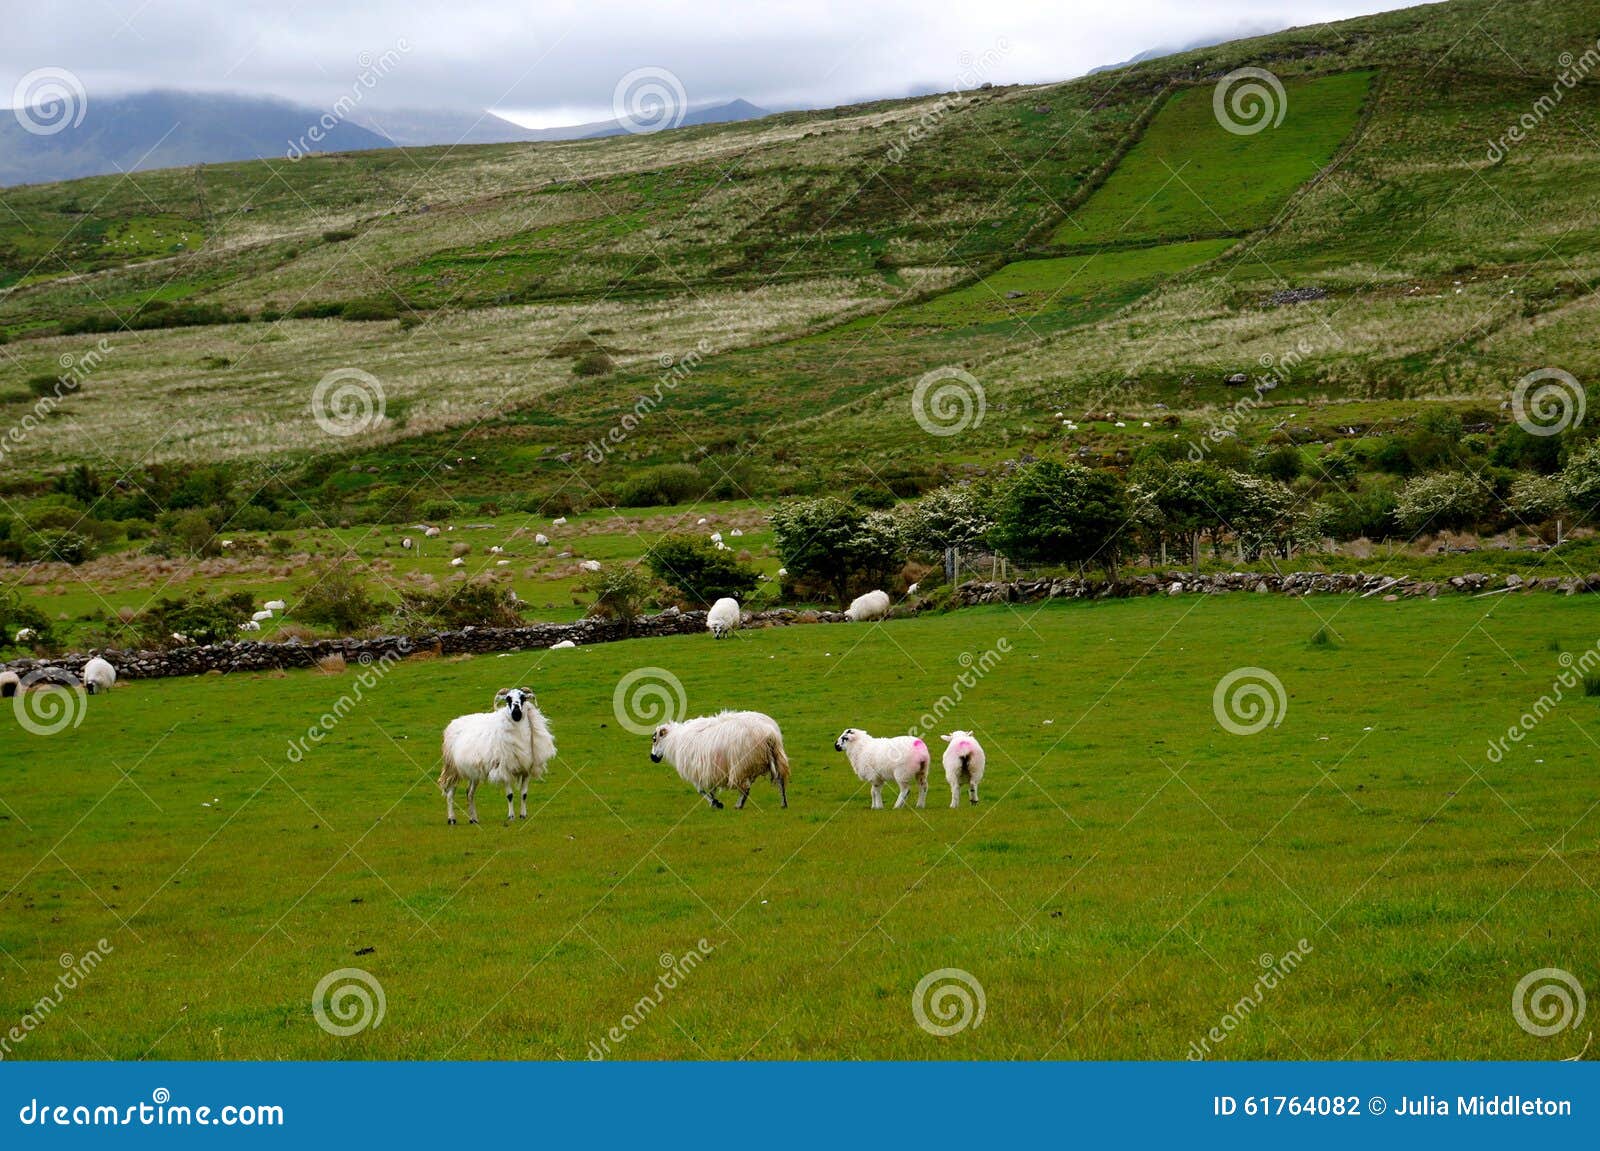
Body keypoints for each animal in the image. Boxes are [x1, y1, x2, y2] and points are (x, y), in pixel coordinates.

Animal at [438, 687, 557, 825]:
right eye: (508, 699)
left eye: (523, 697)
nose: (516, 713)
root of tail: (453, 722)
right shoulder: (504, 769)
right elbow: (510, 795)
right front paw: (511, 817)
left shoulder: (526, 770)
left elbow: (524, 794)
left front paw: (523, 815)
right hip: (453, 768)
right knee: (450, 793)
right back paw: (452, 819)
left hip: (473, 771)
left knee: (469, 793)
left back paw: (474, 819)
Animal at [650, 711, 790, 810]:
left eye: (654, 739)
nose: (652, 757)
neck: (674, 740)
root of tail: (769, 733)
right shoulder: (709, 770)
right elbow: (711, 789)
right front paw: (715, 801)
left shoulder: (697, 770)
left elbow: (700, 790)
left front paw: (715, 803)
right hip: (774, 757)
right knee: (779, 780)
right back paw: (783, 803)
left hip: (741, 764)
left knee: (746, 788)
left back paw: (738, 805)